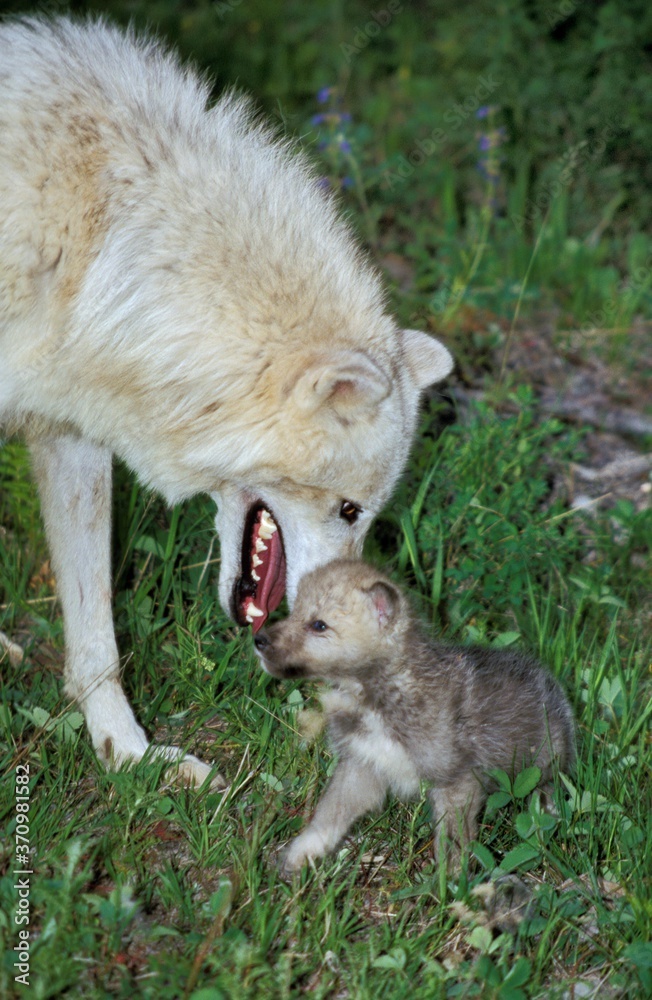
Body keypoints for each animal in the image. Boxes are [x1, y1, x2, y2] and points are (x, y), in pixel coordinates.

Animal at [254, 560, 575, 870]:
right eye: (293, 612)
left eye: (319, 625)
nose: (258, 639)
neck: (376, 700)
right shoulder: (361, 764)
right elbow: (329, 813)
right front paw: (301, 854)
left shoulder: (456, 780)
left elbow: (452, 842)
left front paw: (452, 883)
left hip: (546, 759)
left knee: (550, 786)